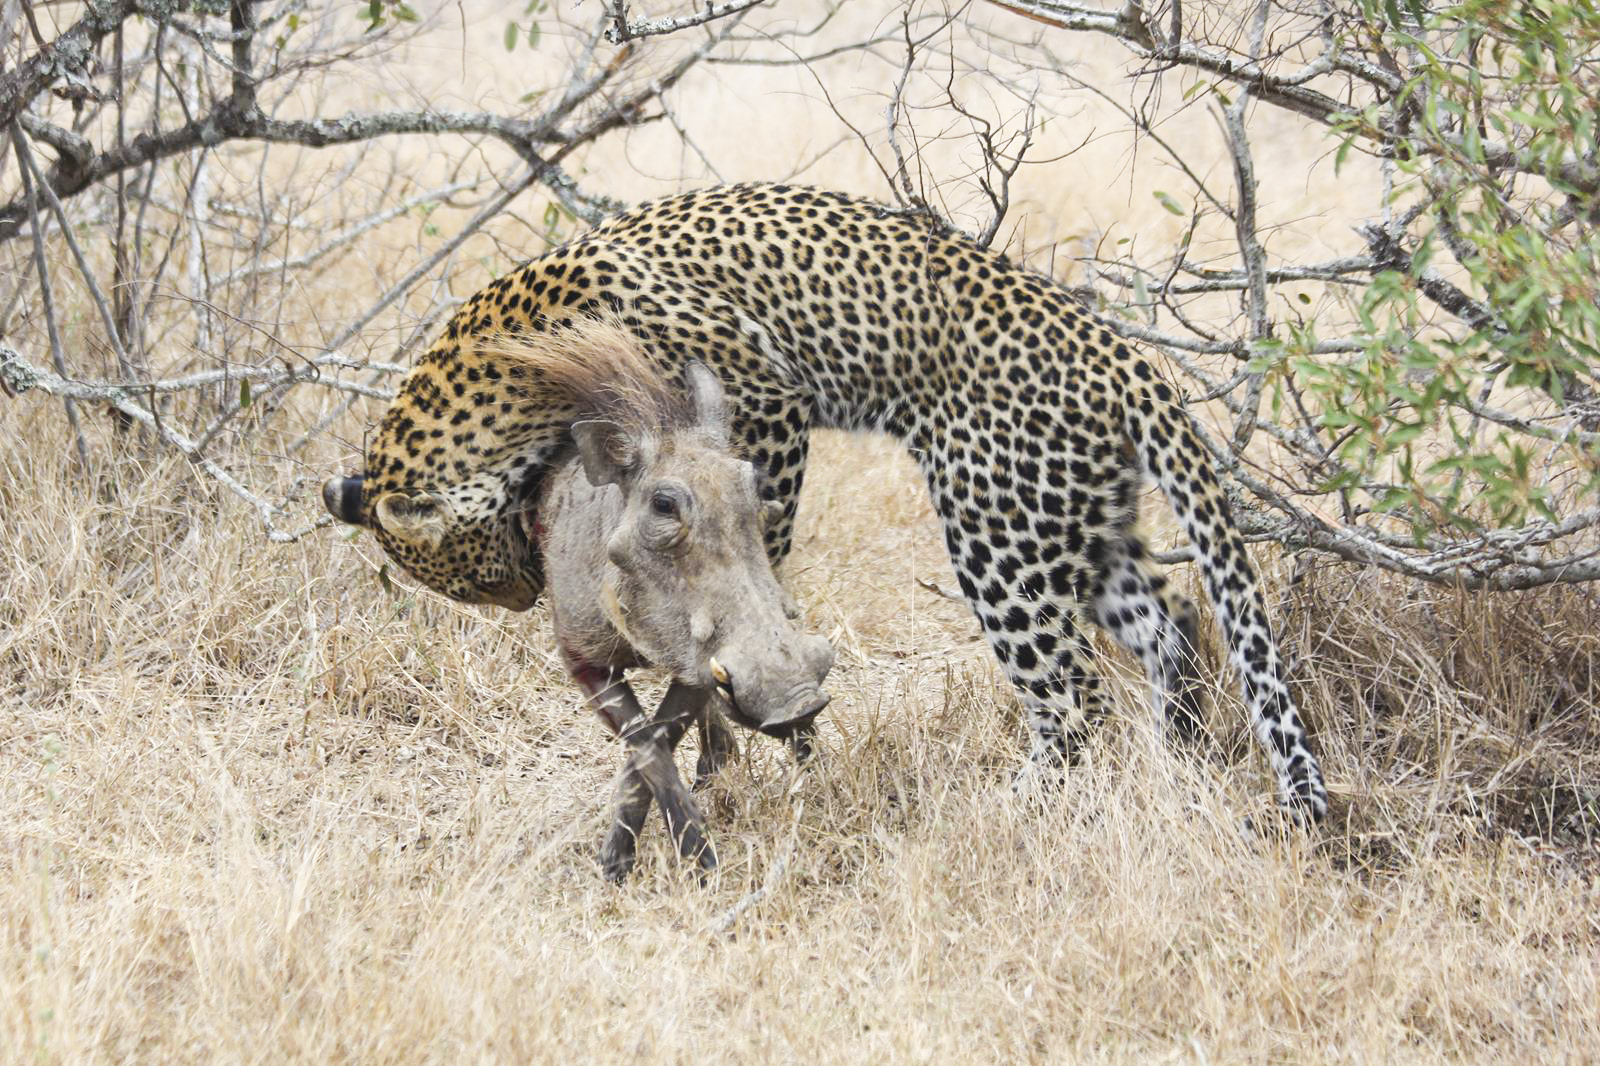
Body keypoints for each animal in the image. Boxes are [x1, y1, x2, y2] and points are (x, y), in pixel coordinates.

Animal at [322, 182, 1329, 823]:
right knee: (1174, 624)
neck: (496, 361)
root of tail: (1123, 356)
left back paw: (1016, 805)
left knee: (1073, 689)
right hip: (1072, 519)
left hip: (996, 531)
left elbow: (751, 528)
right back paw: (1174, 761)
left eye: (473, 577)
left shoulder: (764, 397)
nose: (525, 593)